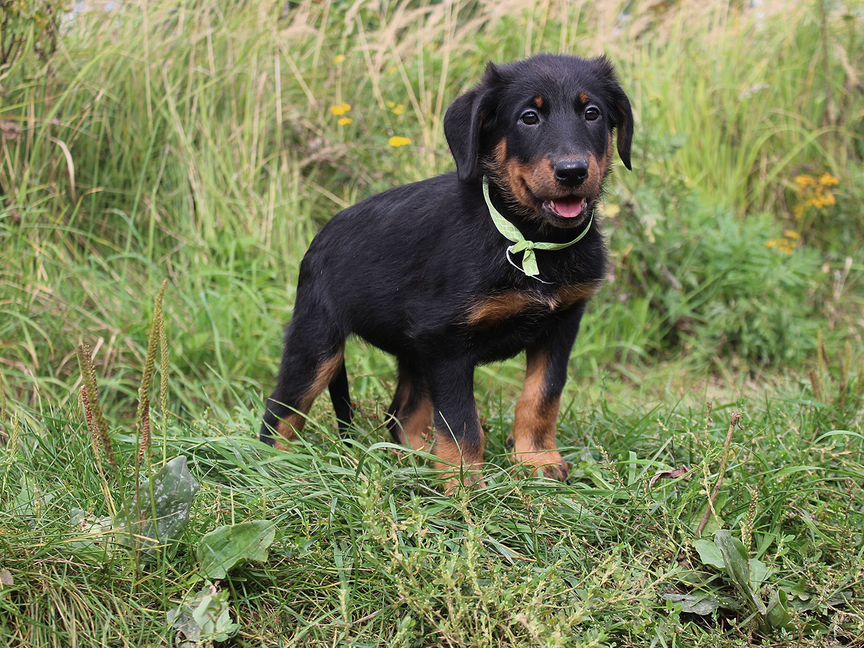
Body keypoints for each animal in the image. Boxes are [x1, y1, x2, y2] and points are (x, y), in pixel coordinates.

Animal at [260, 55, 632, 486]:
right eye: (528, 118)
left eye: (592, 114)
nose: (572, 172)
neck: (526, 237)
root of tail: (318, 241)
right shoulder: (446, 343)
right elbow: (460, 422)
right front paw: (467, 485)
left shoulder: (561, 326)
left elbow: (541, 397)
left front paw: (536, 460)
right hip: (317, 340)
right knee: (281, 413)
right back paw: (273, 466)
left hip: (413, 352)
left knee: (401, 415)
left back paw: (417, 461)